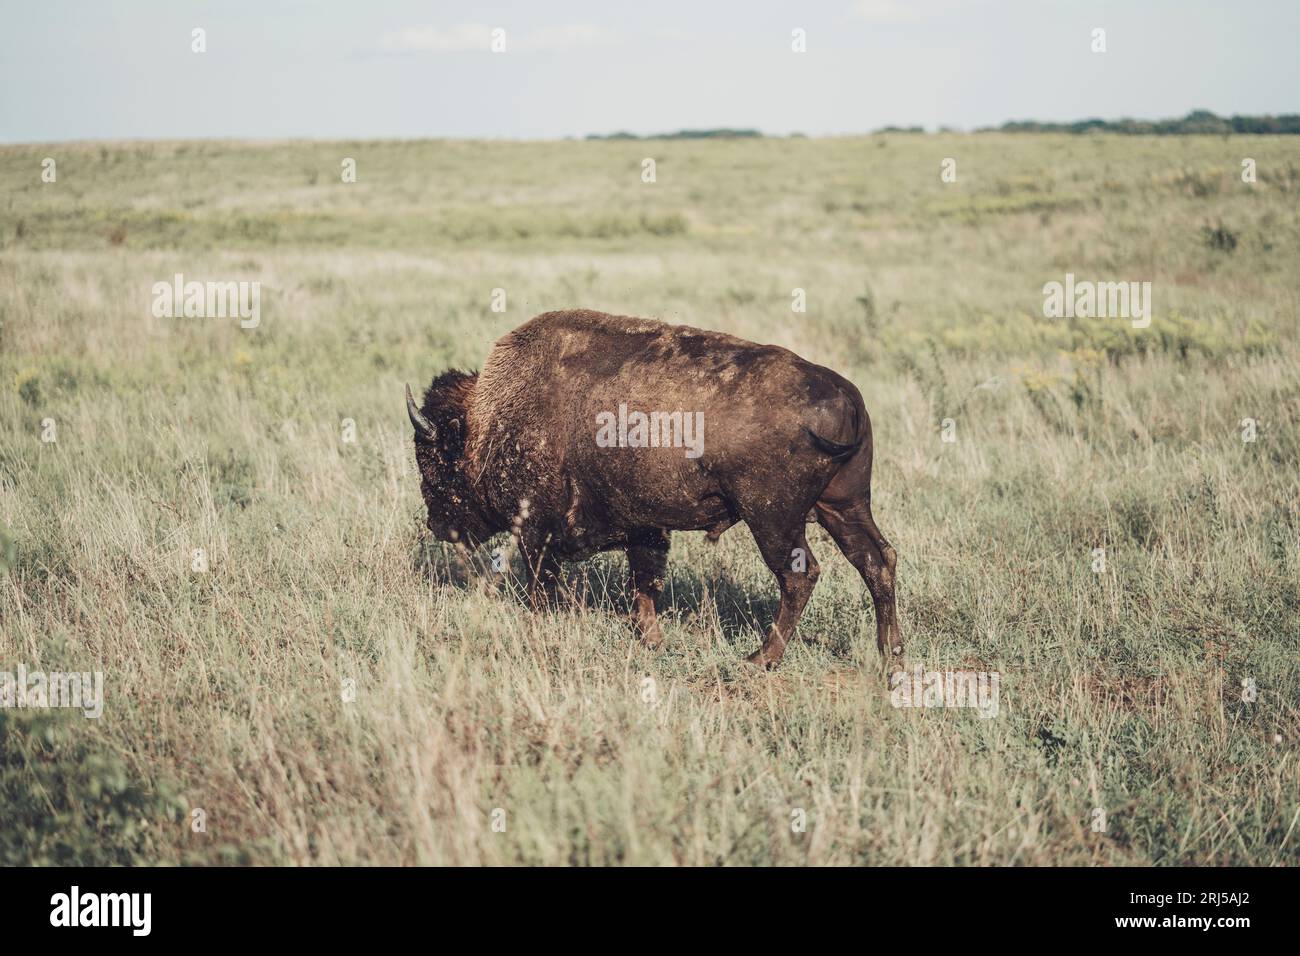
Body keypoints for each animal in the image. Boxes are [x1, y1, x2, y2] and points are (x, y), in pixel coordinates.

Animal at [406, 309, 901, 668]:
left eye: (433, 462)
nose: (436, 524)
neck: (489, 421)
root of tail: (845, 396)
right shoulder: (644, 529)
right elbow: (645, 584)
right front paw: (652, 641)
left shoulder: (537, 532)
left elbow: (546, 587)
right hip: (844, 506)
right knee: (877, 560)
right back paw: (890, 653)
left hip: (773, 519)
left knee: (801, 575)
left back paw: (761, 658)